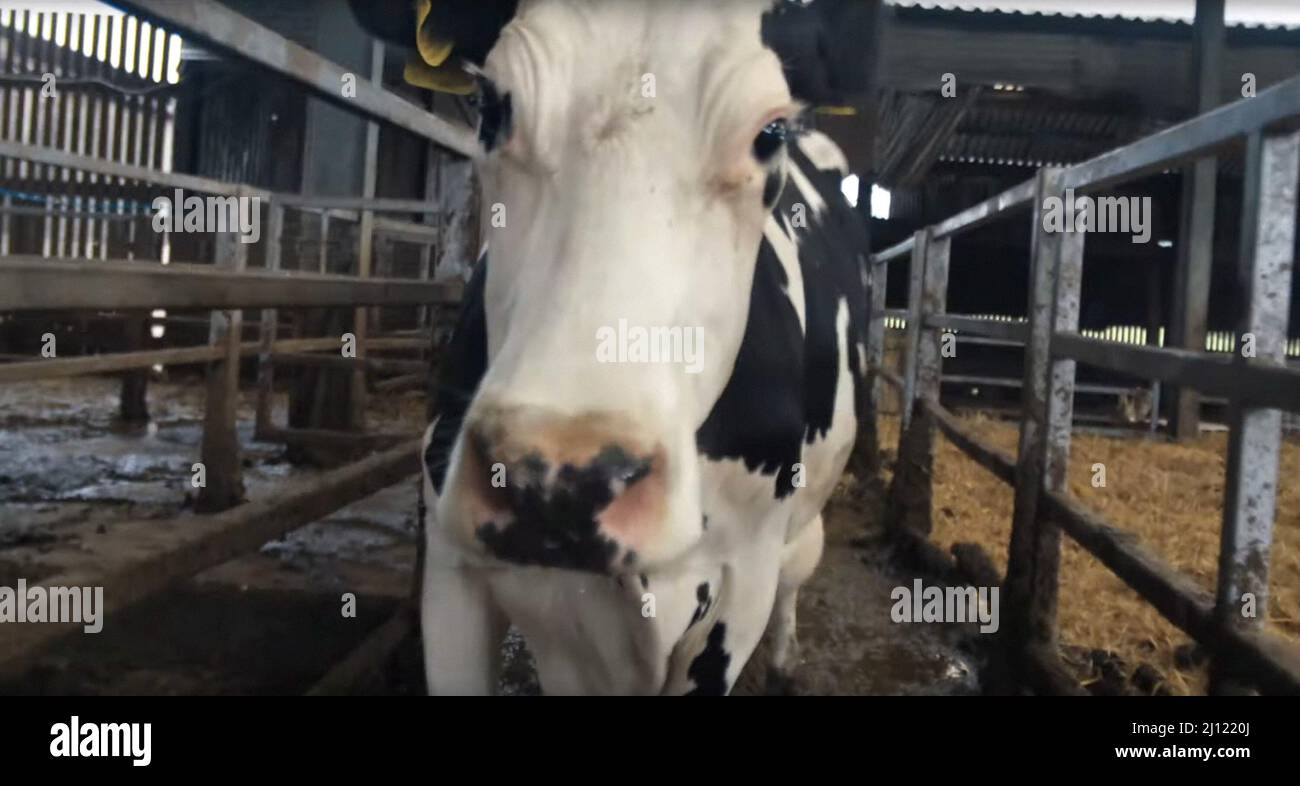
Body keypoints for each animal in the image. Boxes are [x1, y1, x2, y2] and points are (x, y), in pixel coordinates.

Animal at [353, 0, 877, 695]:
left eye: (769, 135)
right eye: (491, 108)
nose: (561, 481)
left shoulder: (740, 588)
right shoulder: (451, 570)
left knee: (797, 574)